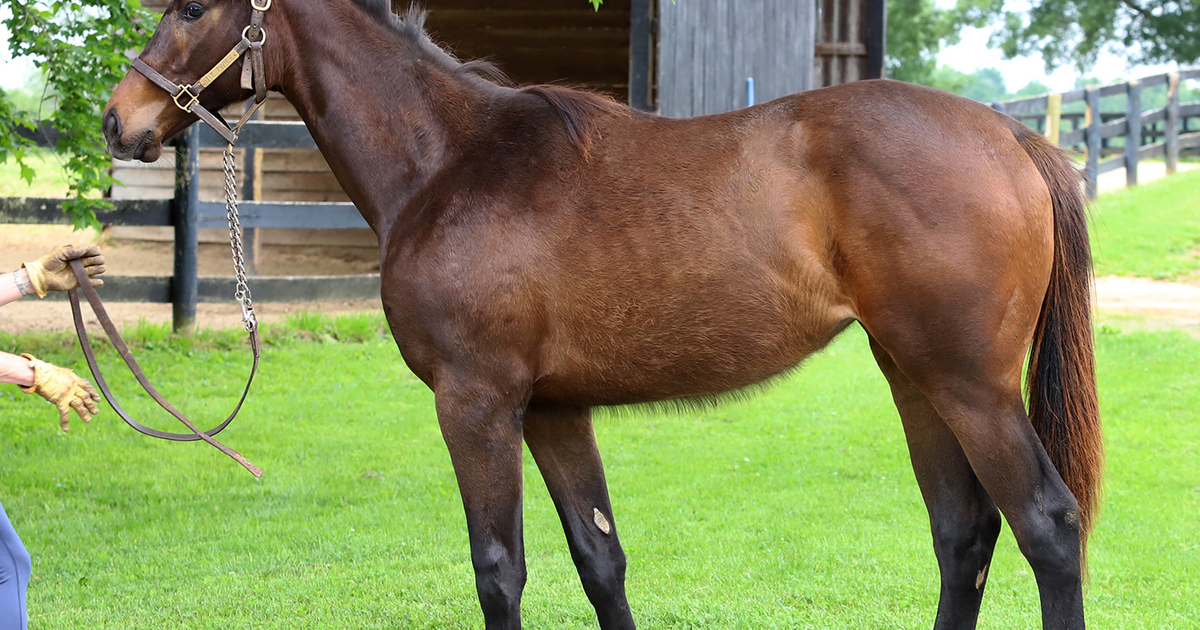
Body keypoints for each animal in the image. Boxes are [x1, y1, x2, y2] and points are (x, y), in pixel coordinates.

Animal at [101, 1, 1101, 628]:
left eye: (189, 7)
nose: (120, 120)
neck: (450, 163)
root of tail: (1008, 134)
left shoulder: (477, 404)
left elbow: (499, 571)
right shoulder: (554, 409)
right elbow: (600, 559)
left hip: (968, 385)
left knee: (1047, 526)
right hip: (913, 376)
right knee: (963, 535)